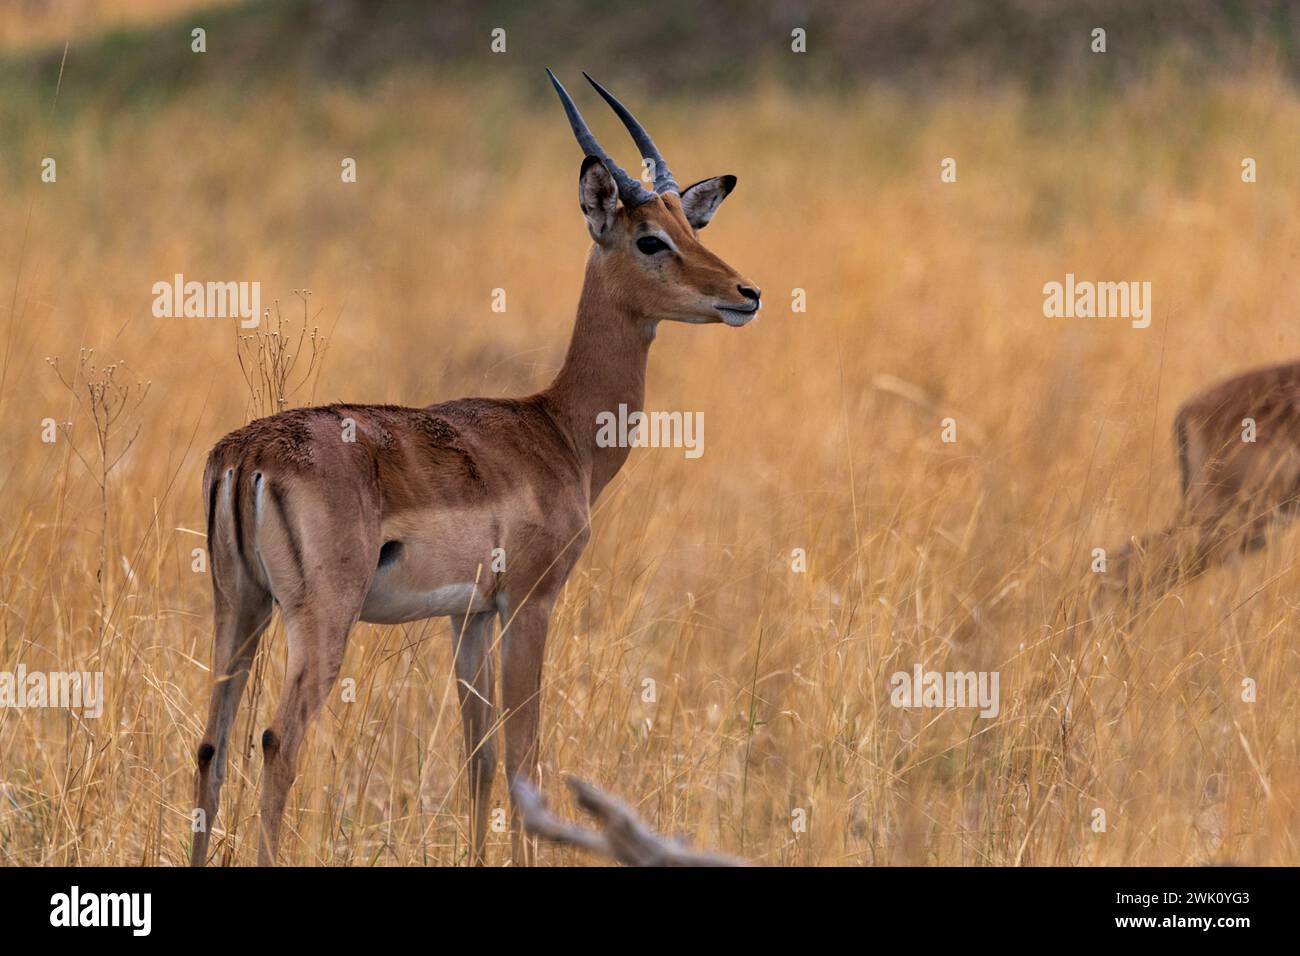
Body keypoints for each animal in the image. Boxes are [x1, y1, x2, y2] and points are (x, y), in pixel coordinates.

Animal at [190, 71, 761, 866]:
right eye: (650, 238)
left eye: (693, 228)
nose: (746, 294)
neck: (558, 430)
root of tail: (248, 455)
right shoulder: (530, 600)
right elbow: (523, 756)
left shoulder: (468, 617)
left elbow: (480, 756)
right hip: (319, 618)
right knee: (279, 740)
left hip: (237, 606)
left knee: (212, 747)